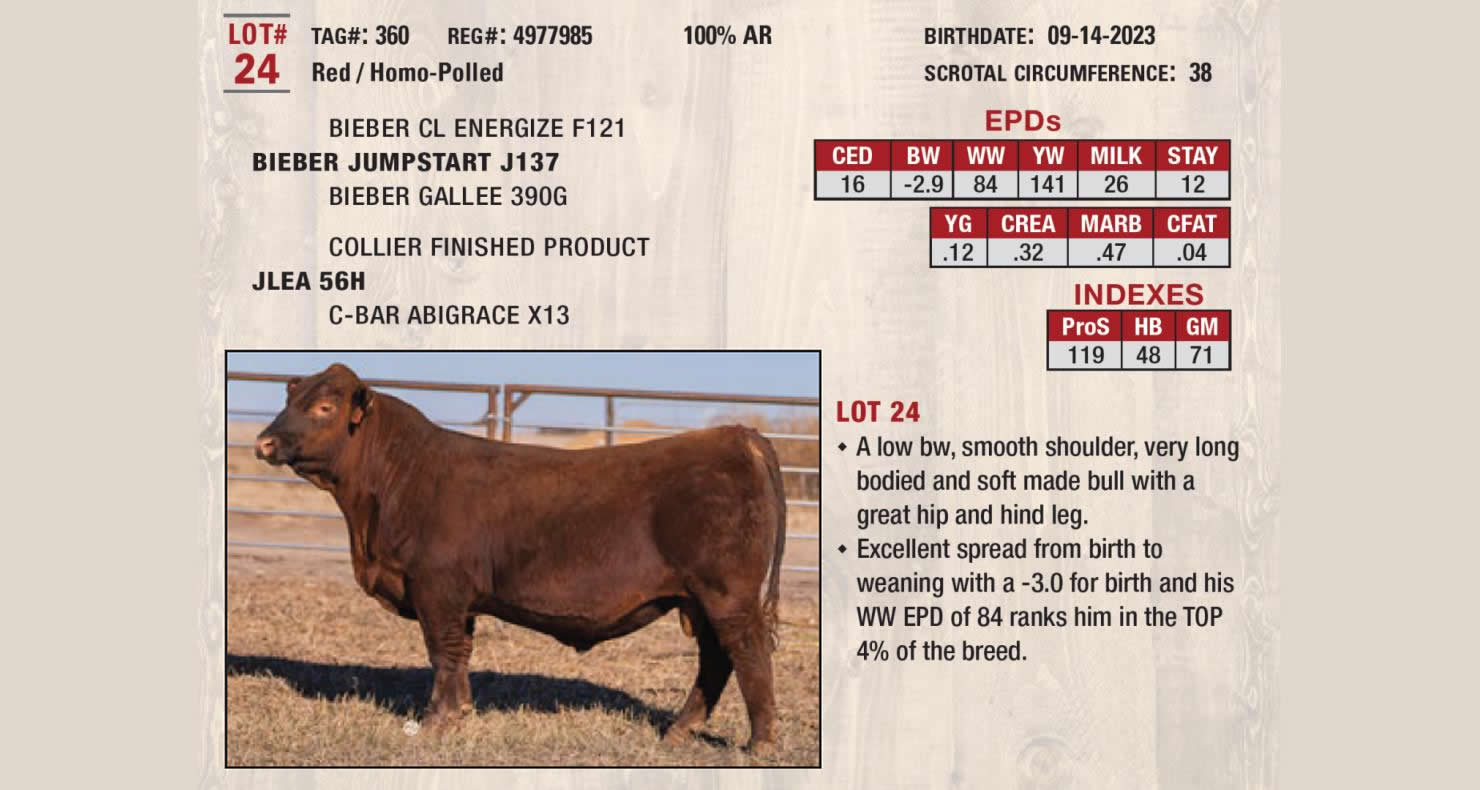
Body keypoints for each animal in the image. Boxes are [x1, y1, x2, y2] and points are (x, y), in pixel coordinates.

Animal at [252, 364, 788, 751]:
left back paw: (760, 745)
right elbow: (459, 655)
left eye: (324, 407)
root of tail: (738, 436)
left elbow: (443, 653)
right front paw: (460, 715)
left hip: (727, 595)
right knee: (716, 660)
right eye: (288, 402)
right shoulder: (457, 599)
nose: (263, 442)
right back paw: (678, 731)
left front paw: (435, 723)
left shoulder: (437, 589)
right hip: (702, 600)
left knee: (748, 655)